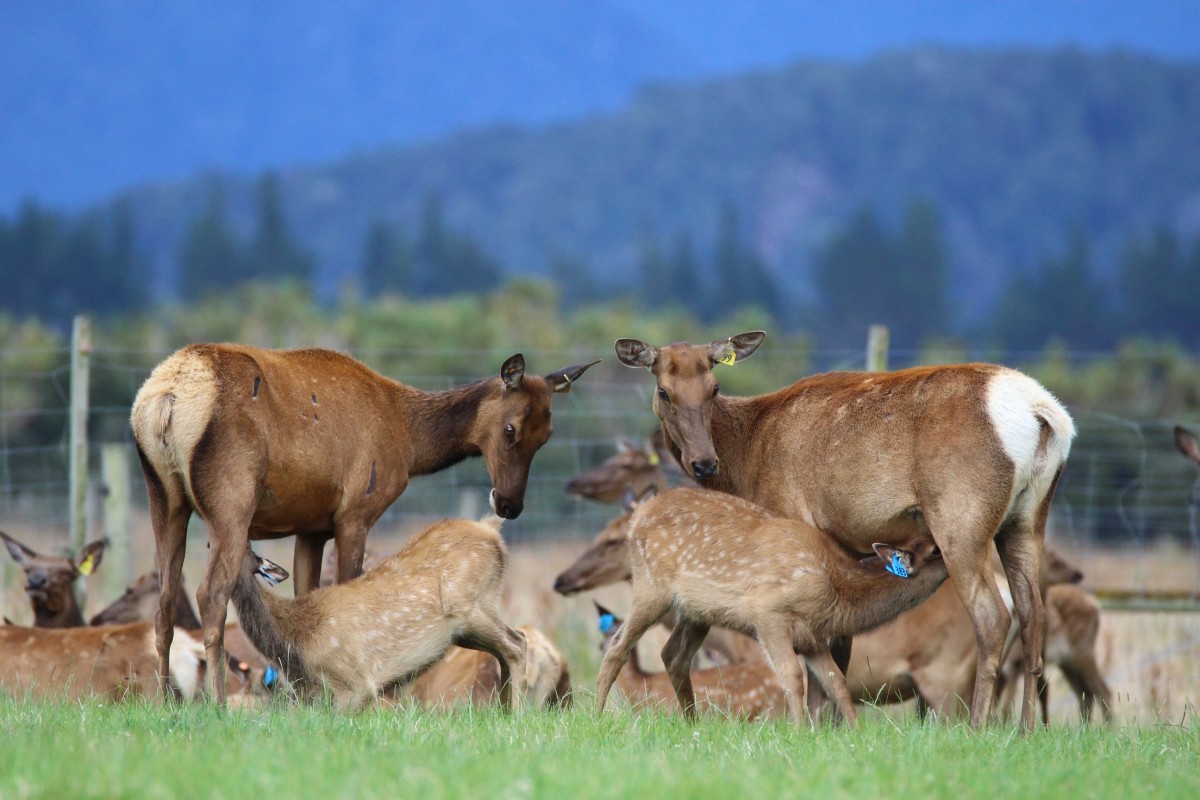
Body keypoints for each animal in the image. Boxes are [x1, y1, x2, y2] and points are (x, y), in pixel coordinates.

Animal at [231, 513, 528, 711]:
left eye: (246, 546)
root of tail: (489, 527)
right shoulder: (308, 695)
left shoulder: (355, 682)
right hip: (465, 630)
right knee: (508, 647)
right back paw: (504, 712)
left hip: (470, 607)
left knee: (516, 644)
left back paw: (516, 715)